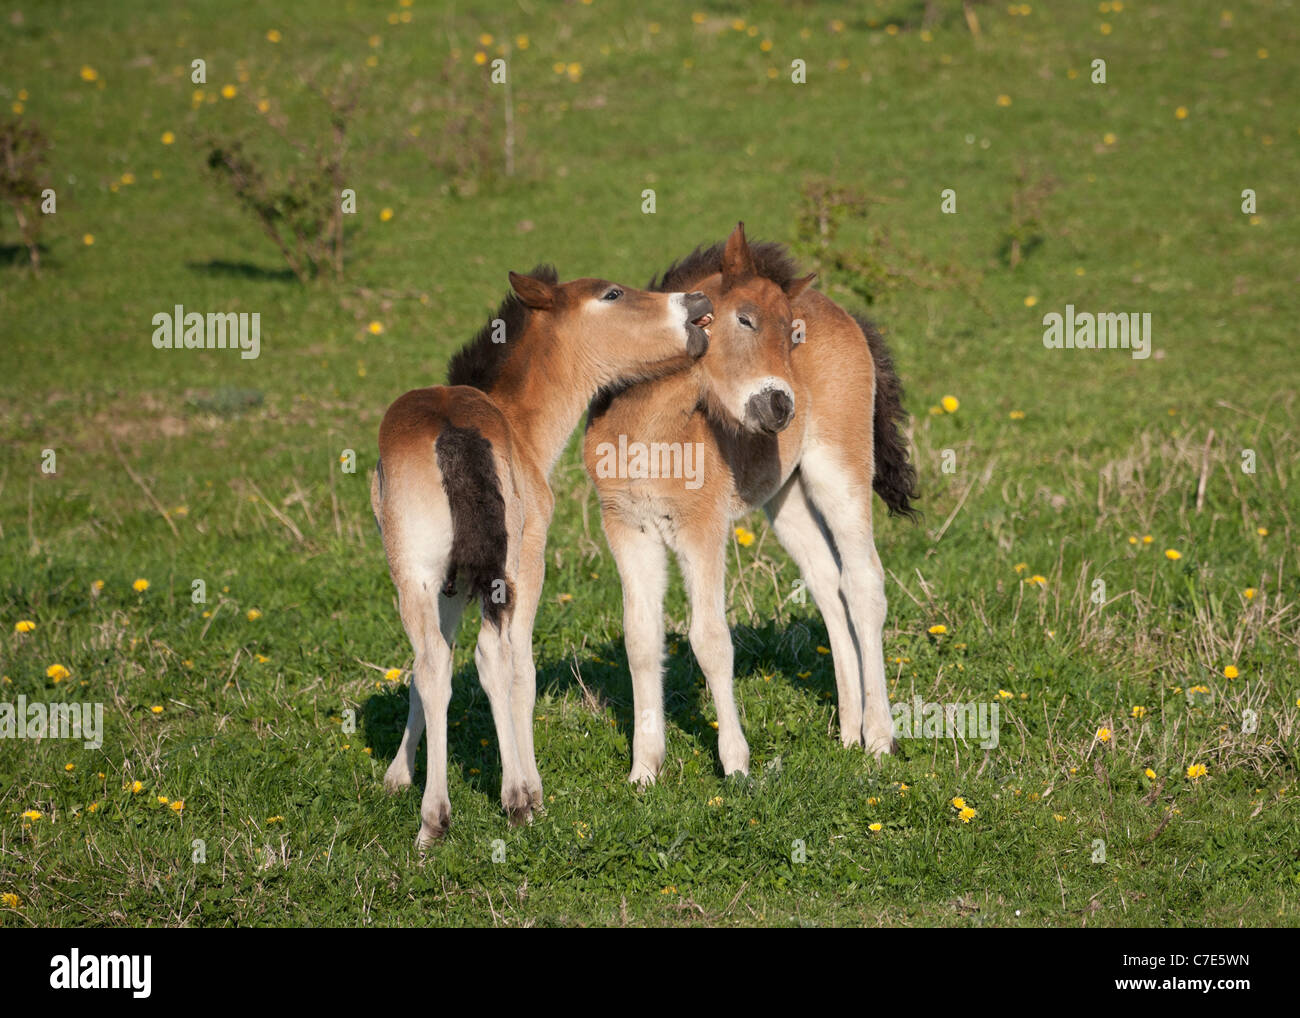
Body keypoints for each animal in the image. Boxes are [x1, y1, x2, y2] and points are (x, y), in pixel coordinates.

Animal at [373, 267, 712, 845]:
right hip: (512, 569)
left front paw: (399, 776)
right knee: (495, 656)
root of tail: (450, 430)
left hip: (413, 574)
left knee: (433, 664)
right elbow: (519, 671)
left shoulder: (448, 586)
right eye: (613, 294)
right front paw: (527, 792)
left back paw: (432, 820)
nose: (696, 301)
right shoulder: (528, 560)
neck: (516, 422)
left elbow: (429, 672)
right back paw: (513, 799)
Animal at [584, 223, 918, 784]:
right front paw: (644, 771)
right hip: (786, 497)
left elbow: (710, 640)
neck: (651, 432)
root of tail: (846, 313)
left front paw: (736, 764)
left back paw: (878, 738)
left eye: (793, 336)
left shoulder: (702, 527)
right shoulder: (628, 527)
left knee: (865, 583)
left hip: (839, 472)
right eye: (744, 319)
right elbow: (641, 641)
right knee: (829, 584)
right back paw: (849, 732)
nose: (779, 406)